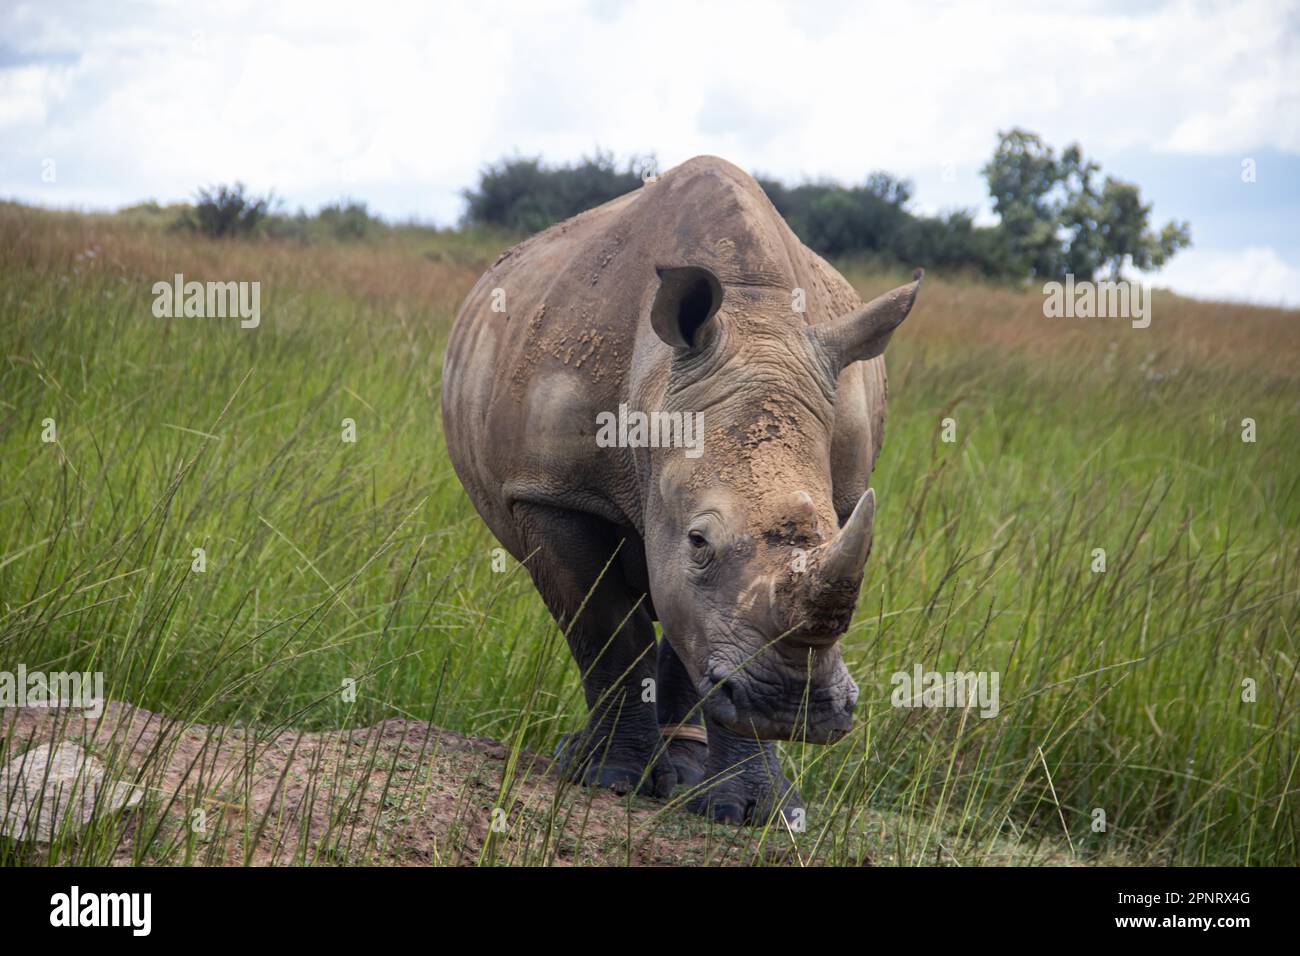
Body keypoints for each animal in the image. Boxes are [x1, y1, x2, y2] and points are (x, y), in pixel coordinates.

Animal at [441, 156, 922, 824]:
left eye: (834, 528)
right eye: (698, 541)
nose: (791, 708)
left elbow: (697, 625)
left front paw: (757, 810)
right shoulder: (552, 493)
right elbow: (608, 633)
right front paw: (611, 780)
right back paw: (592, 761)